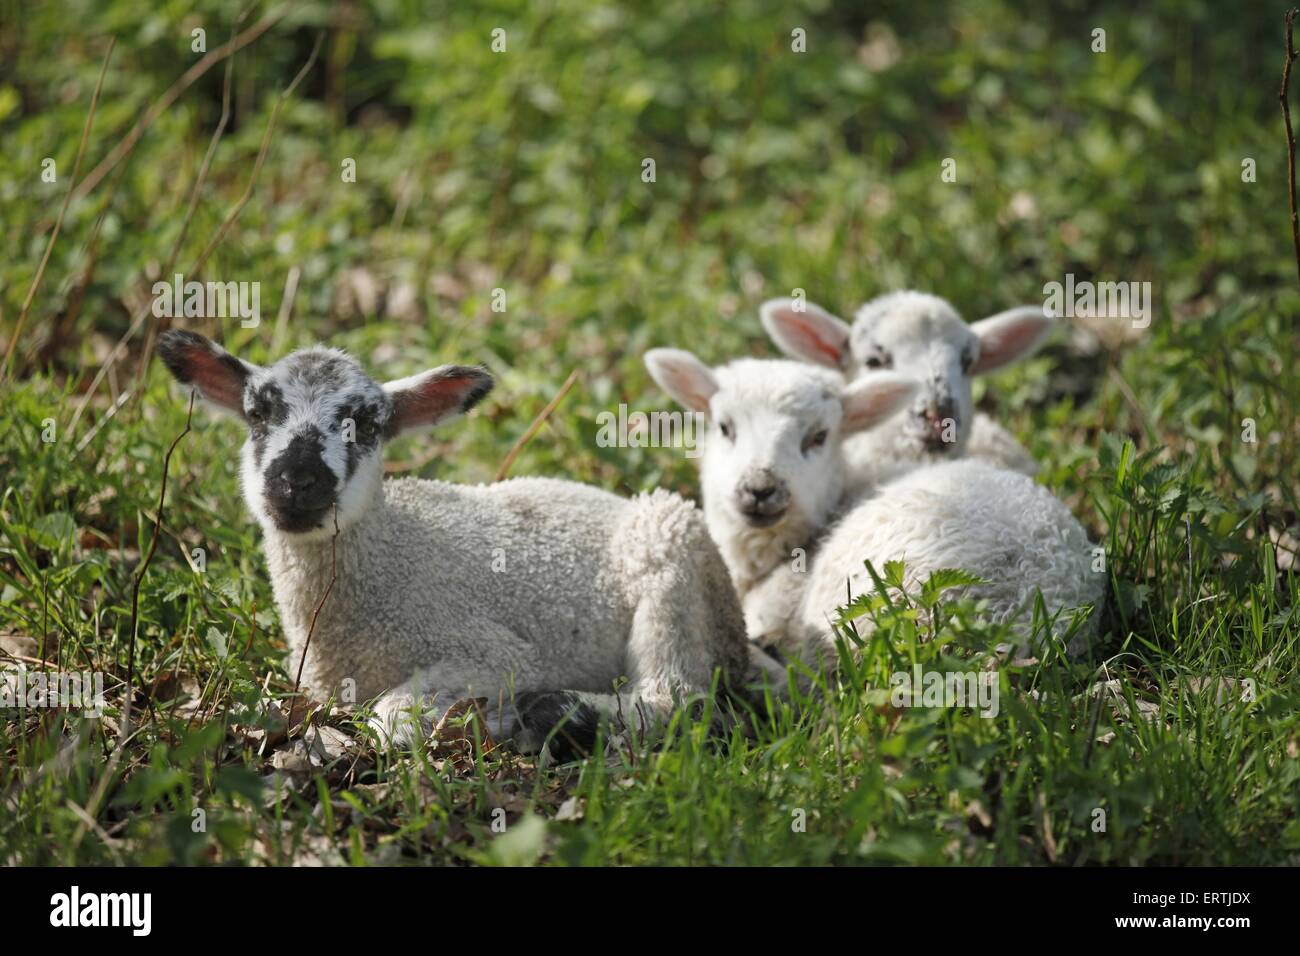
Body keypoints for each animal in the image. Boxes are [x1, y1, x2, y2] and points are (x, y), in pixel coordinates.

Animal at [157, 330, 753, 755]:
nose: (295, 482)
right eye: (258, 415)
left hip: (673, 562)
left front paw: (481, 719)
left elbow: (390, 721)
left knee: (676, 697)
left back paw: (556, 713)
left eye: (365, 425)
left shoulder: (497, 653)